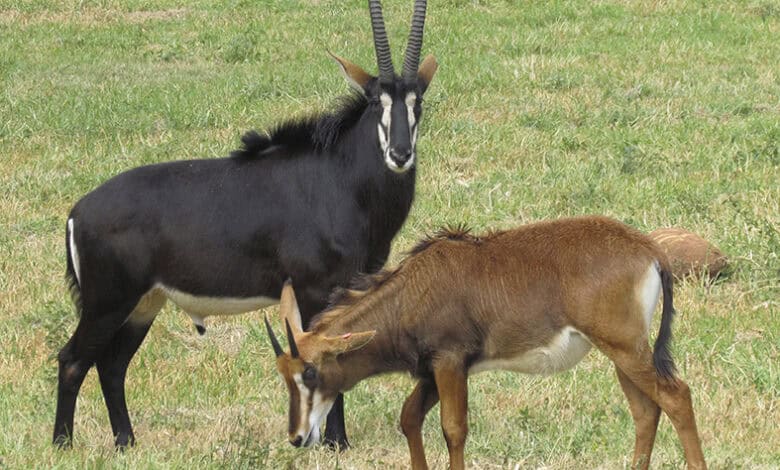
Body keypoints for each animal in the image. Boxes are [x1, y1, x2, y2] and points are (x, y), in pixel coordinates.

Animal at [54, 0, 437, 449]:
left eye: (418, 101)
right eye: (376, 101)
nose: (400, 154)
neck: (341, 178)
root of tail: (78, 212)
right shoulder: (312, 290)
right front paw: (335, 443)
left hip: (143, 304)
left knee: (112, 366)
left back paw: (126, 443)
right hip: (108, 304)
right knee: (73, 360)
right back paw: (63, 445)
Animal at [266, 216, 707, 469]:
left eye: (310, 372)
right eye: (284, 376)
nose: (298, 437)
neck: (412, 291)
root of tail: (648, 250)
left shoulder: (449, 361)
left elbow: (453, 428)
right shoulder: (434, 370)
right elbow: (410, 418)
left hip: (624, 348)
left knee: (676, 396)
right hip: (622, 352)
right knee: (645, 411)